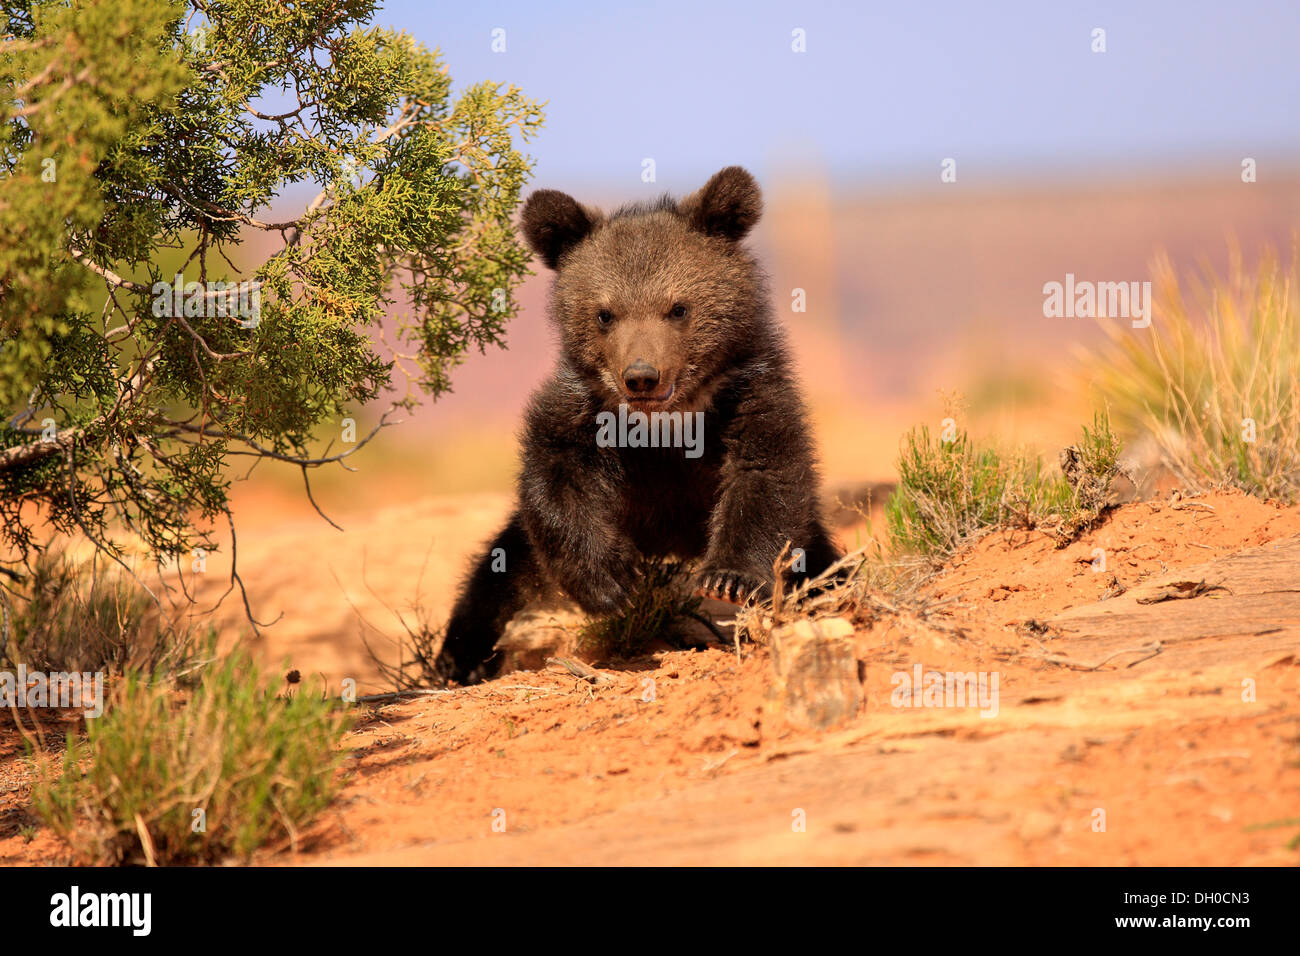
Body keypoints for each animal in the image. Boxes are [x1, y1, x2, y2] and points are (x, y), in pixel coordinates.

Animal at [432, 166, 841, 685]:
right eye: (605, 314)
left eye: (678, 307)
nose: (642, 376)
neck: (666, 423)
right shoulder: (586, 413)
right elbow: (558, 477)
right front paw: (612, 580)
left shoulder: (745, 398)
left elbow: (767, 473)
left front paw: (728, 577)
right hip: (520, 562)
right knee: (496, 575)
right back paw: (459, 659)